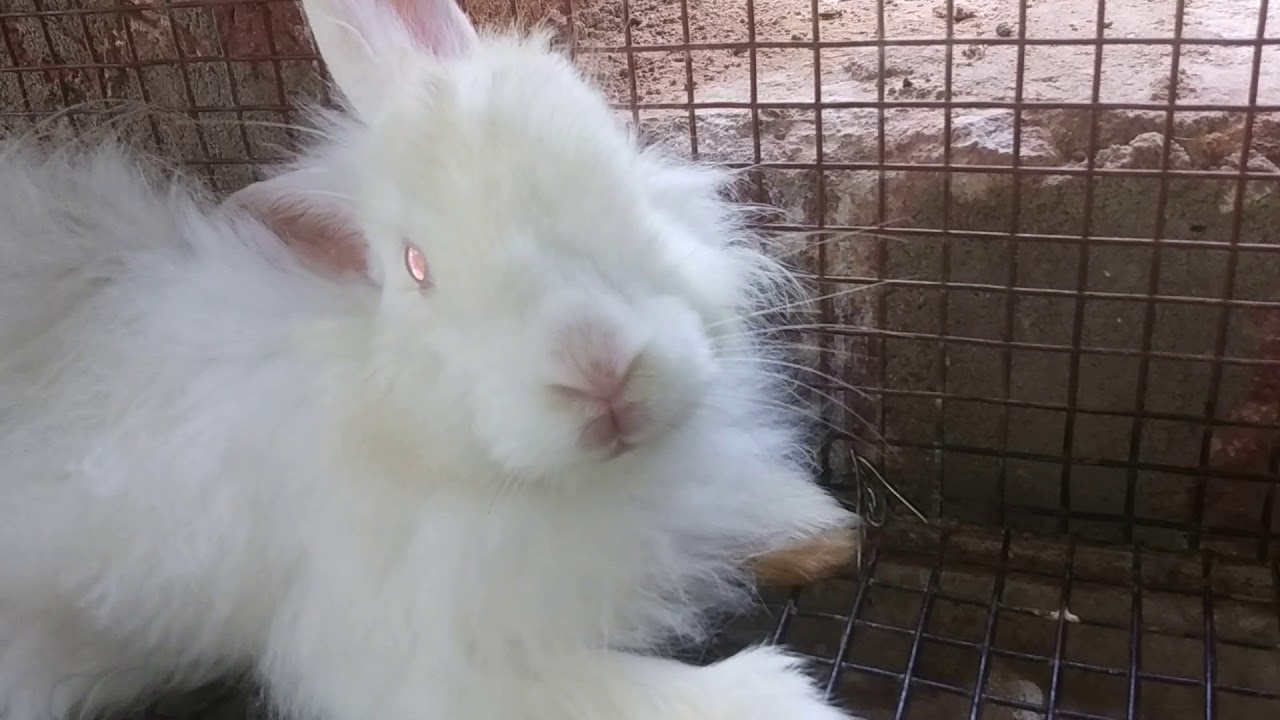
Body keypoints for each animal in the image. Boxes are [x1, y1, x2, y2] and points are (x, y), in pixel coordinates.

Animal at [0, 1, 861, 719]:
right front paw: (783, 700)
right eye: (416, 268)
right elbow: (610, 694)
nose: (601, 368)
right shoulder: (421, 656)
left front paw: (822, 534)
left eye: (610, 165)